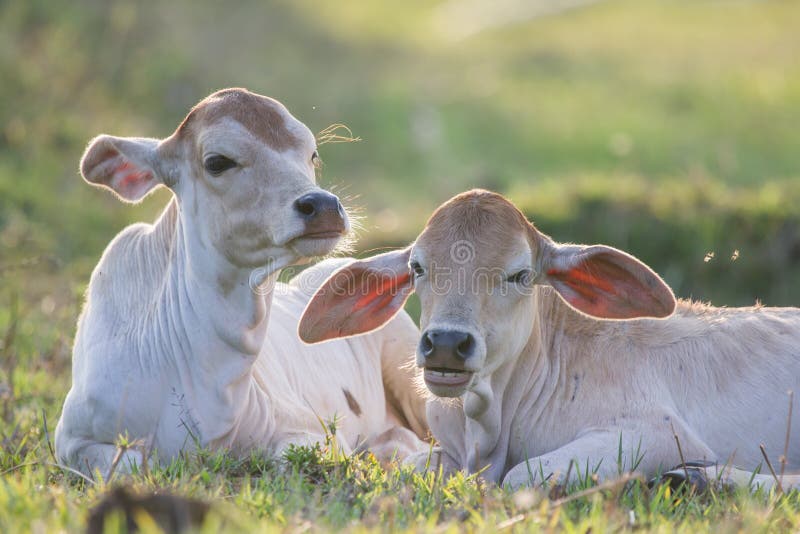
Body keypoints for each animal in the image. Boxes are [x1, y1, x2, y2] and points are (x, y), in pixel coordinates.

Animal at [54, 88, 427, 478]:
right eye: (218, 162)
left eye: (312, 155)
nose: (323, 206)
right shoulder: (71, 440)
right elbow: (132, 463)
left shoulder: (310, 430)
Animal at [299, 188, 800, 490]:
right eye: (418, 267)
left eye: (520, 274)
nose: (444, 344)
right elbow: (409, 466)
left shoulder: (656, 432)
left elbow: (522, 476)